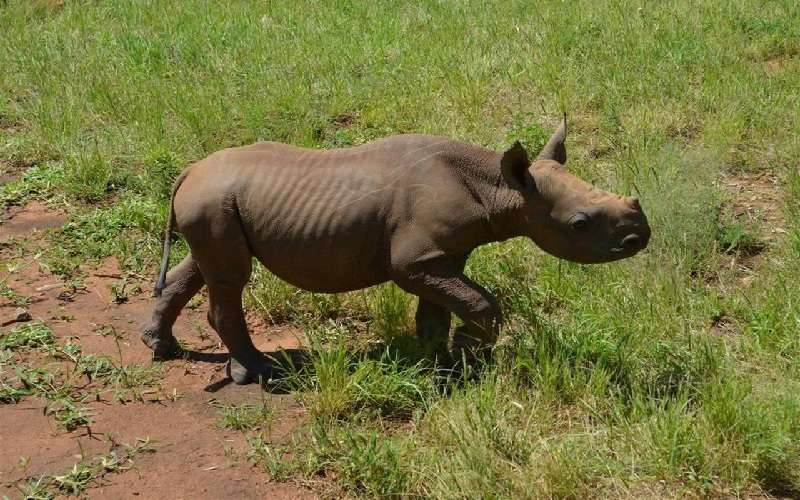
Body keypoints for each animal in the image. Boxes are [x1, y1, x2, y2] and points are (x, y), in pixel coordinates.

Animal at [141, 117, 650, 384]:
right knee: (229, 278)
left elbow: (439, 308)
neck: (499, 185)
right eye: (580, 224)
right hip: (214, 203)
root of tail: (188, 172)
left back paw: (161, 348)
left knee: (200, 267)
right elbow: (481, 302)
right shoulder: (416, 259)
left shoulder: (441, 254)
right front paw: (469, 361)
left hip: (214, 204)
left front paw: (435, 361)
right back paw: (262, 374)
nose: (639, 237)